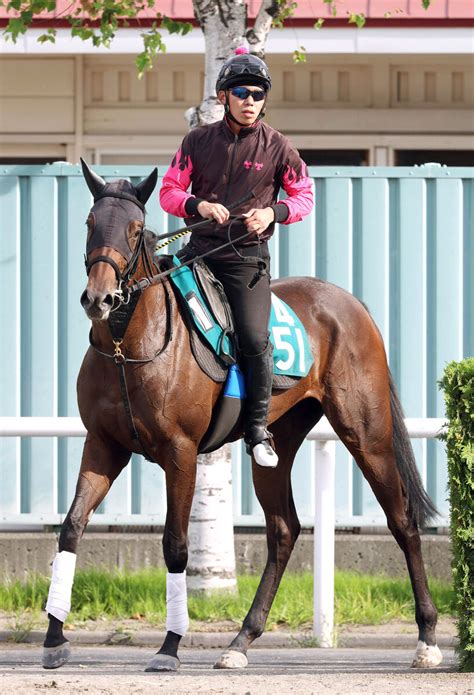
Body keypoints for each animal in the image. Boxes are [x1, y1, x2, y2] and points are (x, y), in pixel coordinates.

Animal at [42, 163, 442, 676]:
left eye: (134, 229)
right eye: (91, 222)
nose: (100, 298)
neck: (127, 348)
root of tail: (352, 304)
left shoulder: (180, 452)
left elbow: (176, 544)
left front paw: (169, 647)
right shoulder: (102, 445)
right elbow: (71, 527)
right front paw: (55, 638)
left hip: (367, 434)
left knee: (402, 520)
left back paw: (427, 638)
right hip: (276, 441)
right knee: (283, 531)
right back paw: (241, 640)